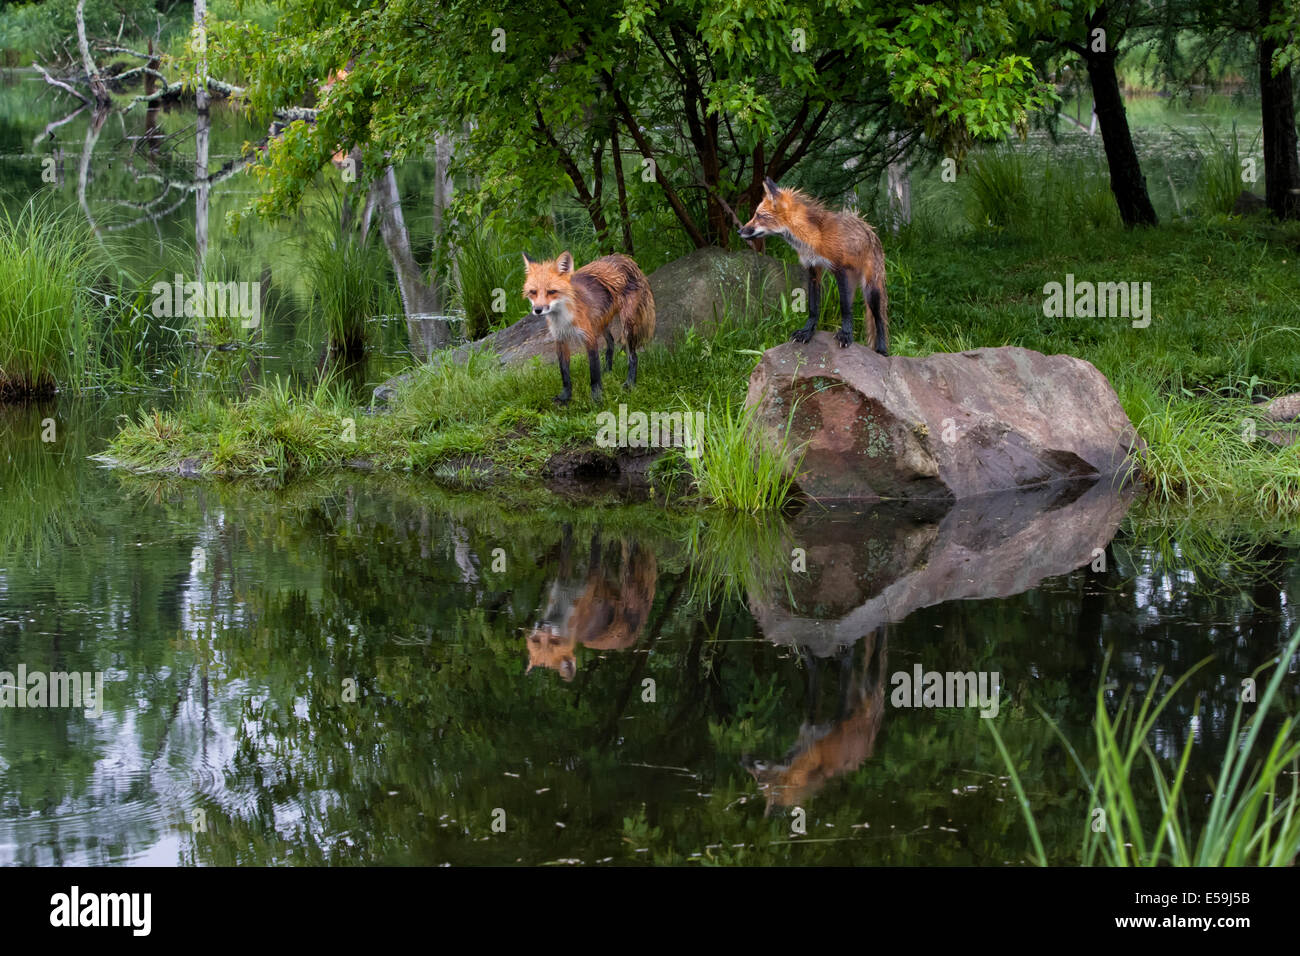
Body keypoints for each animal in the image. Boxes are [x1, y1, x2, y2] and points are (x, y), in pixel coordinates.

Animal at [521, 251, 656, 405]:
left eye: (551, 291)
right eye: (533, 292)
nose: (537, 310)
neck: (563, 319)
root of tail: (624, 258)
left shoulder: (589, 337)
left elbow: (594, 372)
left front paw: (597, 398)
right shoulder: (560, 339)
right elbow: (564, 372)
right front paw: (565, 397)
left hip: (627, 325)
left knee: (633, 357)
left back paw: (630, 383)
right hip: (600, 322)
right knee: (611, 343)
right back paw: (608, 372)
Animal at [525, 531, 658, 681]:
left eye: (555, 642)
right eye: (536, 641)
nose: (543, 626)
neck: (563, 609)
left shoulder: (591, 579)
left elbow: (594, 545)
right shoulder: (562, 582)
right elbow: (567, 544)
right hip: (610, 580)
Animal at [738, 176, 889, 354]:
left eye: (759, 215)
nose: (739, 231)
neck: (814, 237)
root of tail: (871, 233)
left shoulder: (840, 270)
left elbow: (845, 308)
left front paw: (846, 335)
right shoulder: (813, 269)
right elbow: (813, 307)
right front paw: (807, 331)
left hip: (871, 290)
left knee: (879, 319)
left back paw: (882, 350)